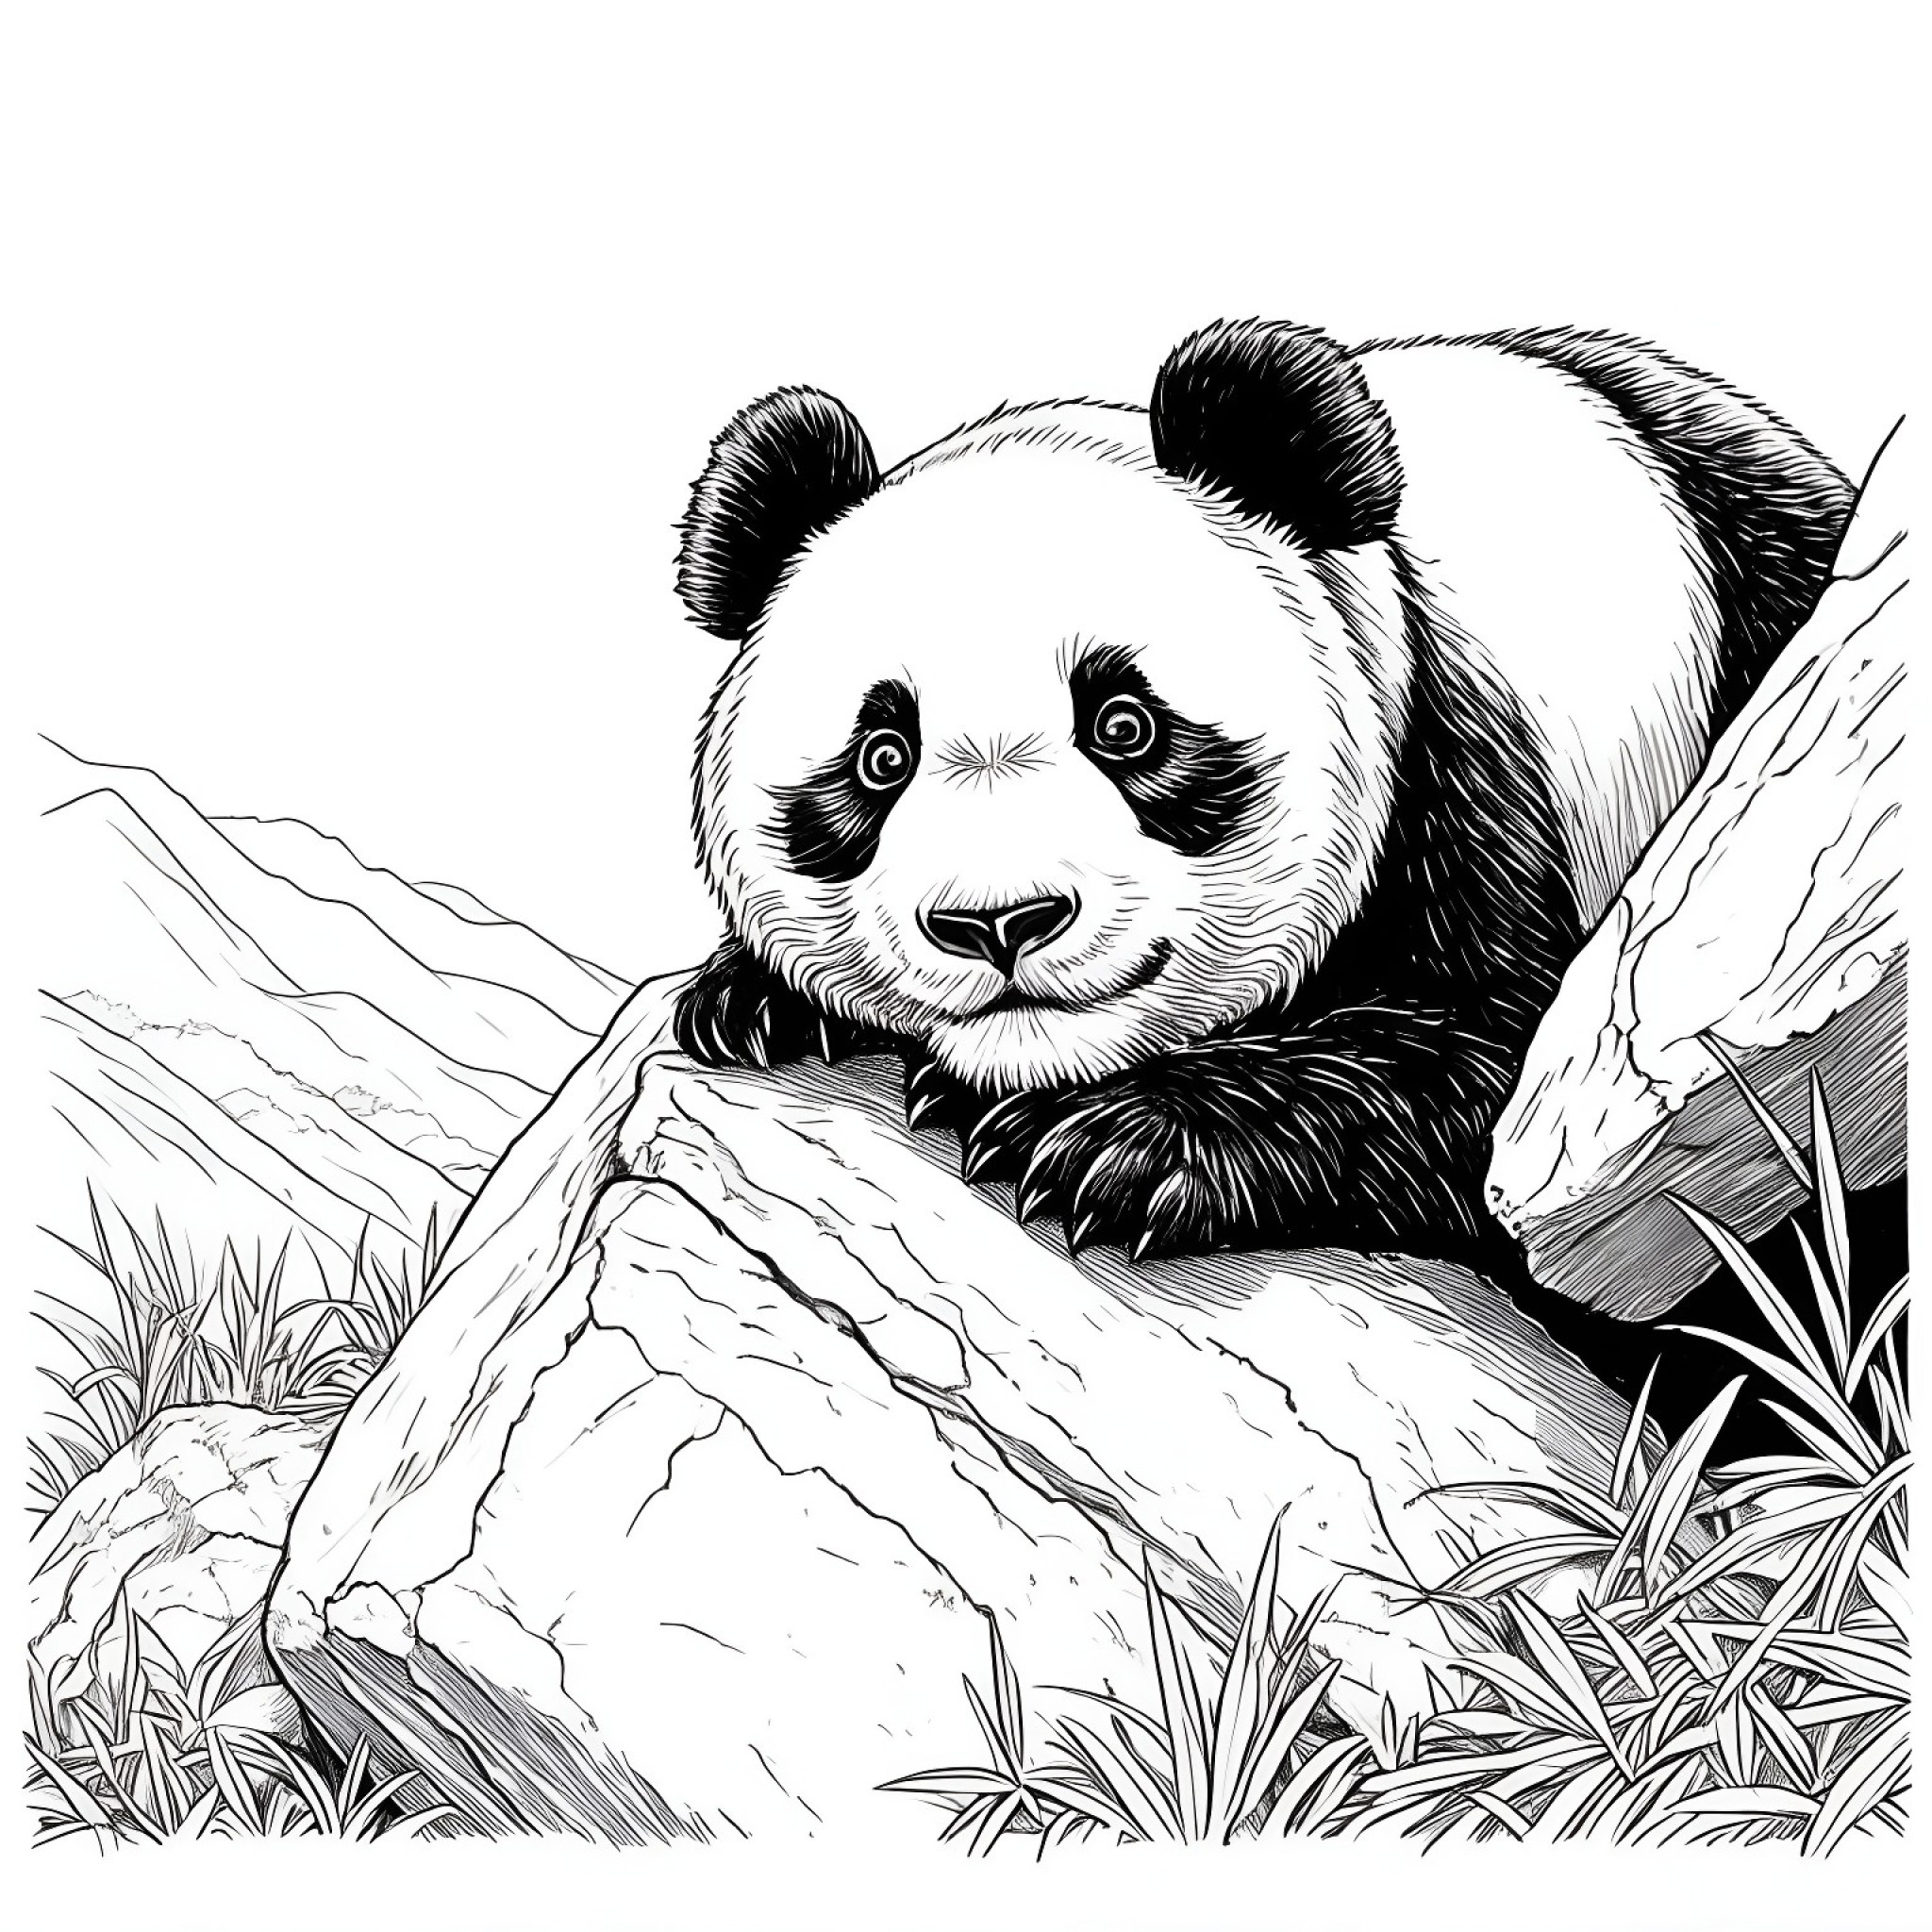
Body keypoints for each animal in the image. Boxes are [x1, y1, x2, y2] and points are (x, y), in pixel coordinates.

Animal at [667, 319, 1851, 1278]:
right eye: (881, 756)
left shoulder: (1463, 788)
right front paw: (754, 1001)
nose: (999, 922)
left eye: (1124, 725)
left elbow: (1475, 1069)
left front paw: (1108, 1148)